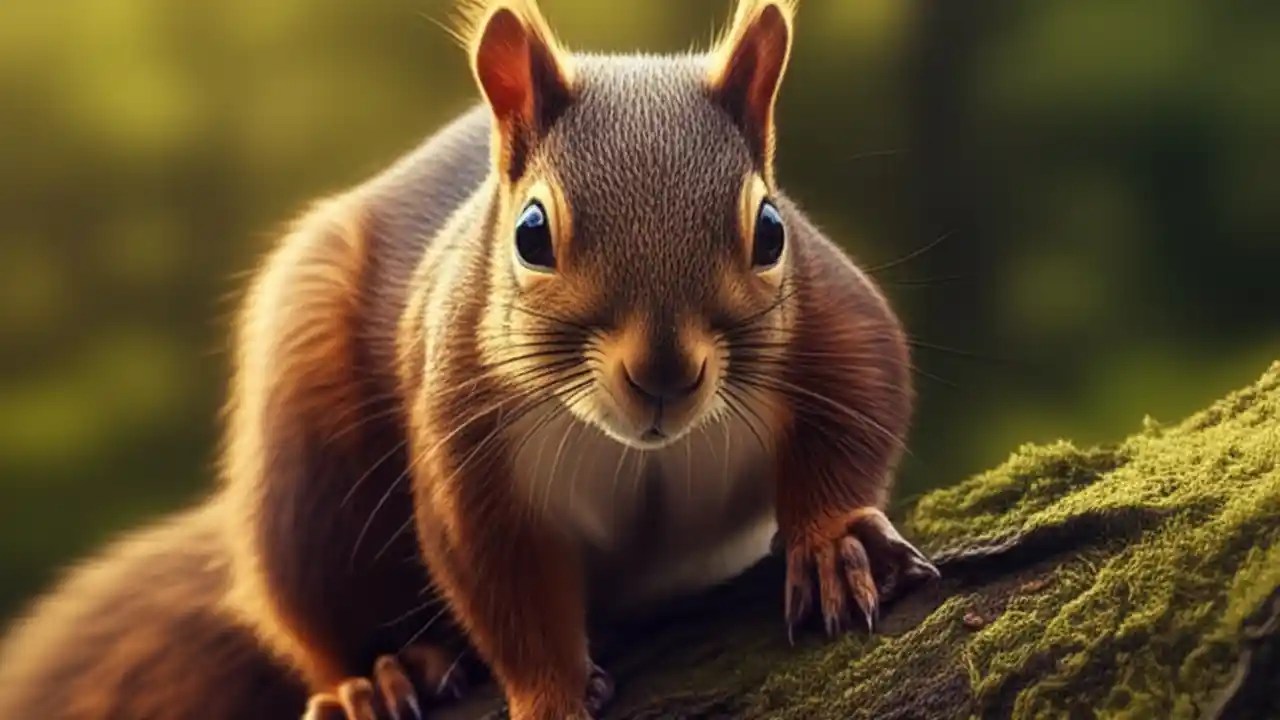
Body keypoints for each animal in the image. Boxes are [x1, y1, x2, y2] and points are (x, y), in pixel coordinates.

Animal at [0, 1, 940, 719]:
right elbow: (500, 579)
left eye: (770, 229)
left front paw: (833, 543)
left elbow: (864, 406)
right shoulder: (465, 434)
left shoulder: (833, 326)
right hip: (303, 471)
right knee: (314, 602)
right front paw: (551, 696)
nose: (665, 377)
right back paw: (381, 675)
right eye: (530, 234)